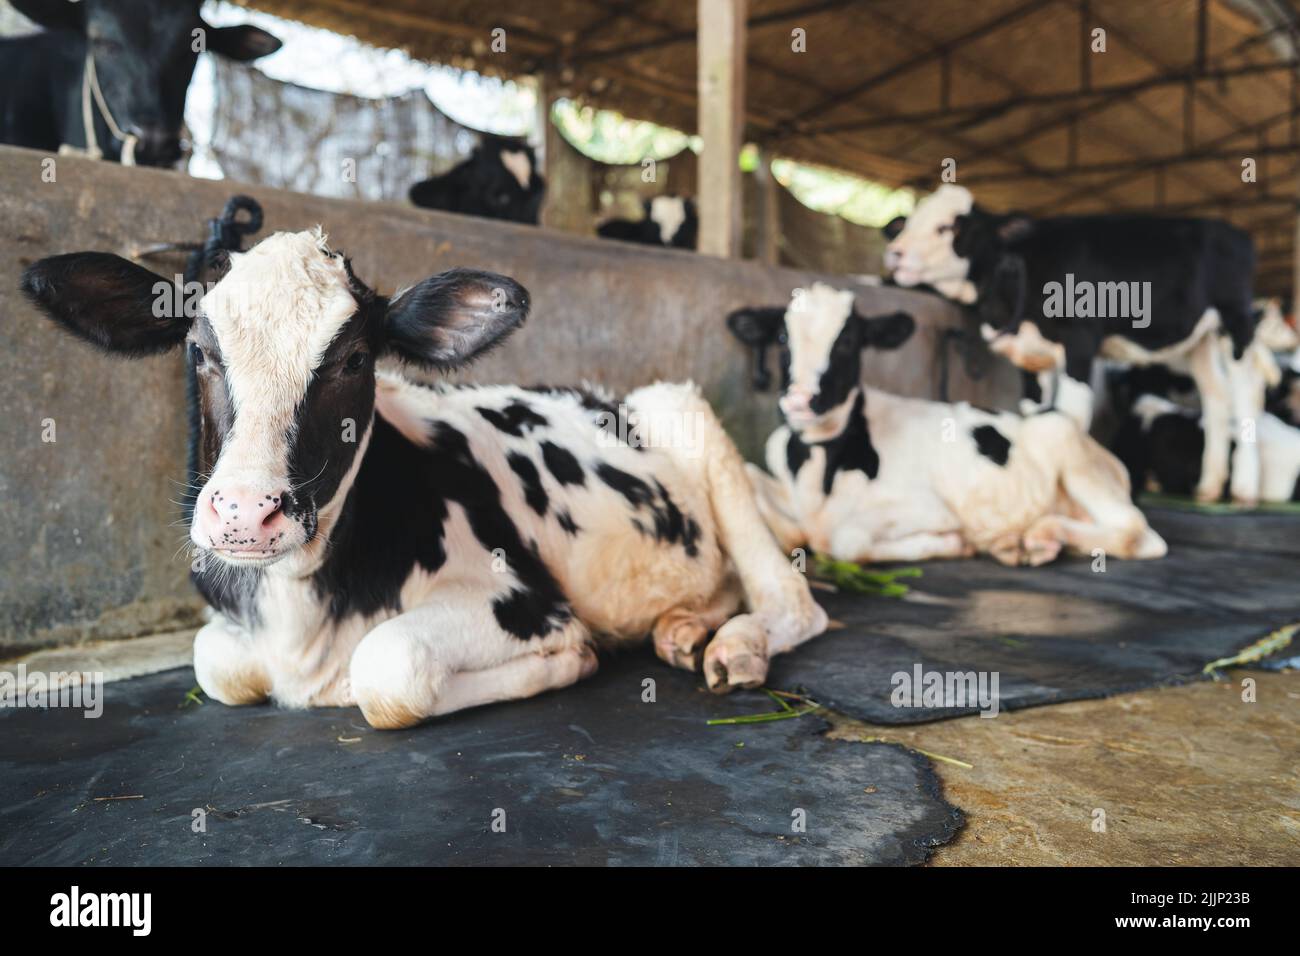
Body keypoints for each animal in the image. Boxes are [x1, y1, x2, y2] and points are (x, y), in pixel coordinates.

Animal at [21, 230, 826, 729]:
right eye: (200, 351)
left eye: (354, 360)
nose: (247, 513)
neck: (302, 614)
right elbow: (218, 662)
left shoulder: (521, 600)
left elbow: (389, 670)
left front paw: (571, 661)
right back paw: (680, 628)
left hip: (691, 417)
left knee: (791, 601)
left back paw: (733, 646)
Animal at [727, 283, 1166, 566]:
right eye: (782, 337)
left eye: (849, 340)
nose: (800, 399)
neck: (820, 470)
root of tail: (1110, 459)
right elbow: (749, 476)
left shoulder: (928, 508)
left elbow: (845, 541)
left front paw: (951, 544)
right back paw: (1024, 545)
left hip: (1061, 435)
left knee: (1138, 532)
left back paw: (1043, 534)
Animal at [883, 184, 1271, 506]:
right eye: (908, 223)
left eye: (950, 228)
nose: (895, 253)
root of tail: (1233, 231)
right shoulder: (1031, 355)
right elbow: (1035, 414)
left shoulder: (1080, 339)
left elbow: (1070, 415)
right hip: (1200, 340)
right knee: (1216, 397)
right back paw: (1209, 486)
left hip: (1236, 322)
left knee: (1246, 393)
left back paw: (1244, 489)